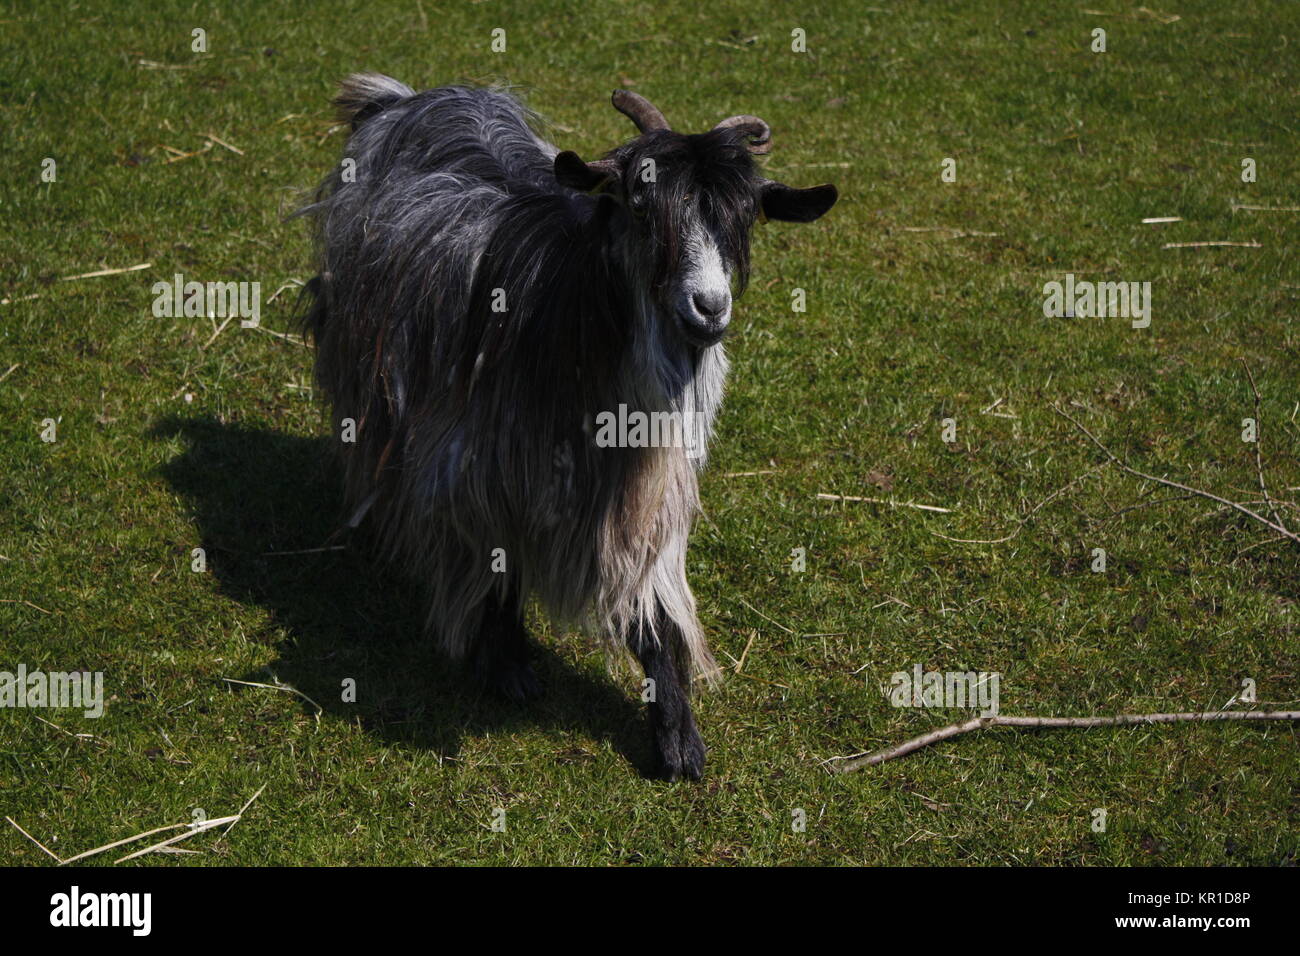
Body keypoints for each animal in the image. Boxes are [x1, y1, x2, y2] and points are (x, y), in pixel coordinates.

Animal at [298, 75, 837, 780]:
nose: (708, 308)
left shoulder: (641, 493)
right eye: (639, 204)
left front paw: (677, 738)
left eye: (745, 217)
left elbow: (649, 600)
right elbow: (495, 558)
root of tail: (408, 96)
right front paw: (506, 663)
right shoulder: (477, 460)